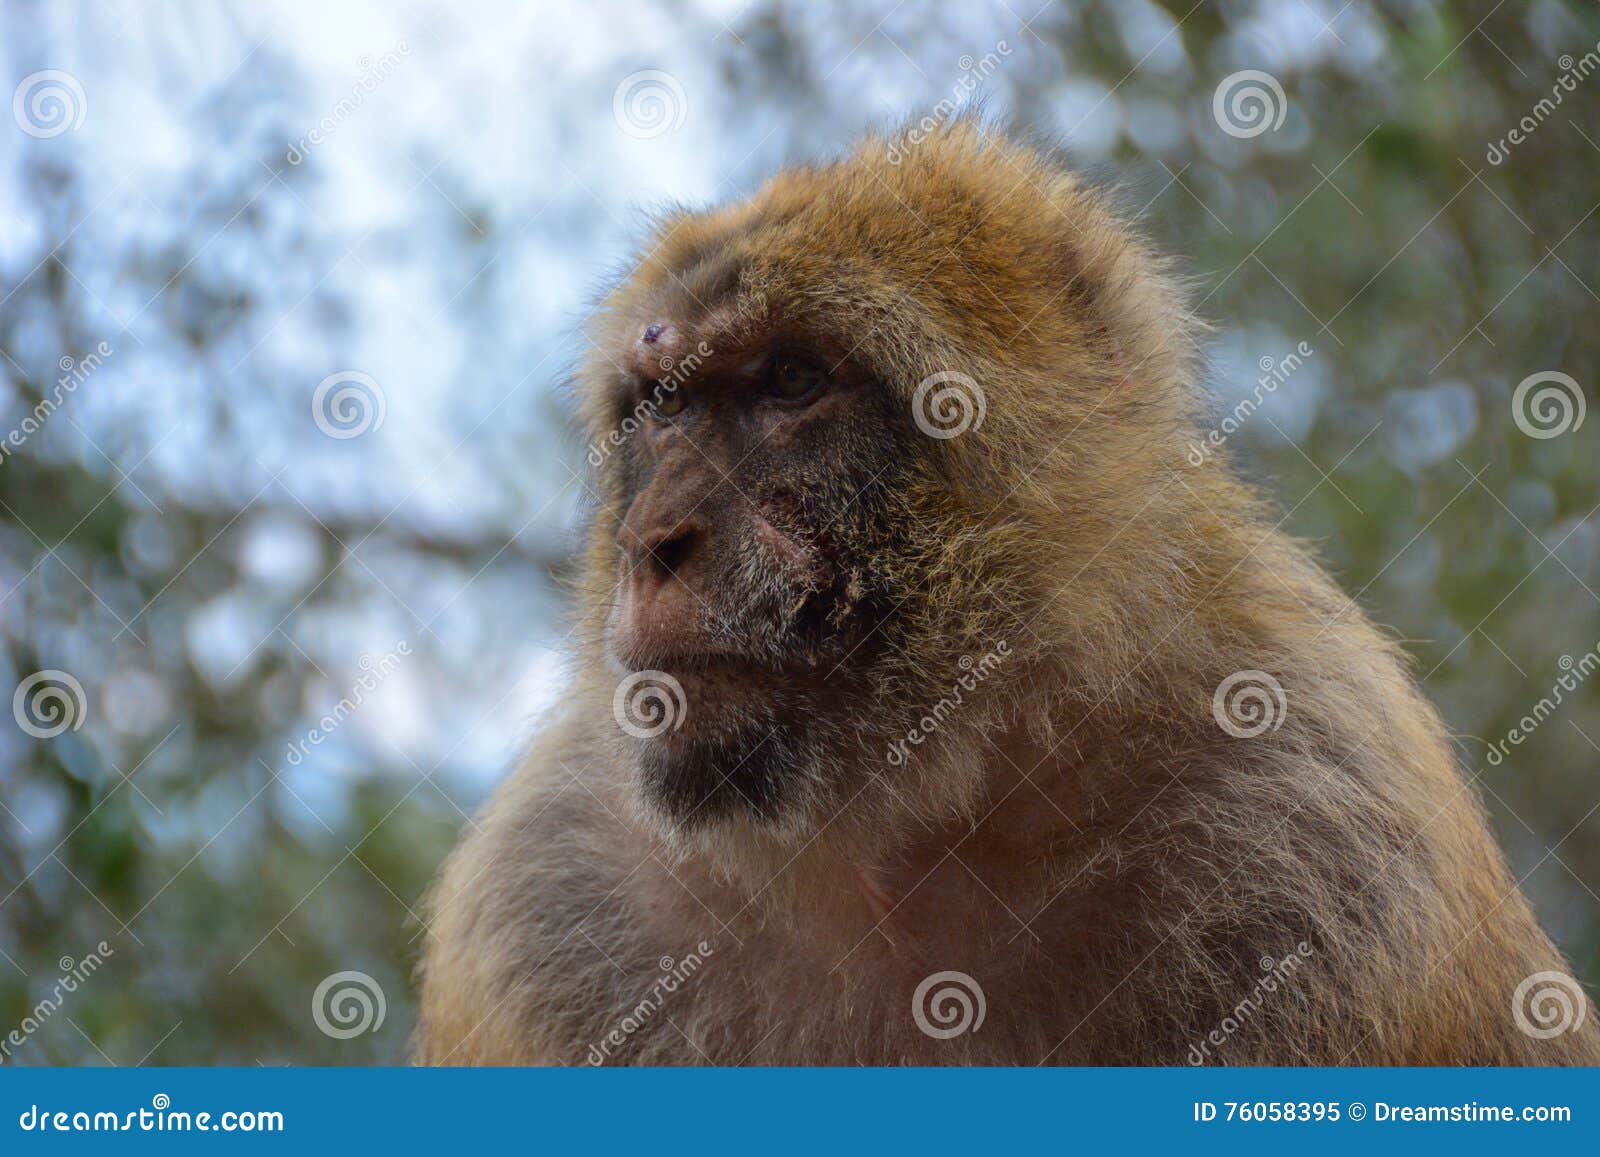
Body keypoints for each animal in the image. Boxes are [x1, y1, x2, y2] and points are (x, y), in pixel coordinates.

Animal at [415, 122, 1600, 1066]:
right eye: (661, 407)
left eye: (793, 381)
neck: (916, 829)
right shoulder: (540, 898)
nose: (652, 543)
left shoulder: (1328, 836)